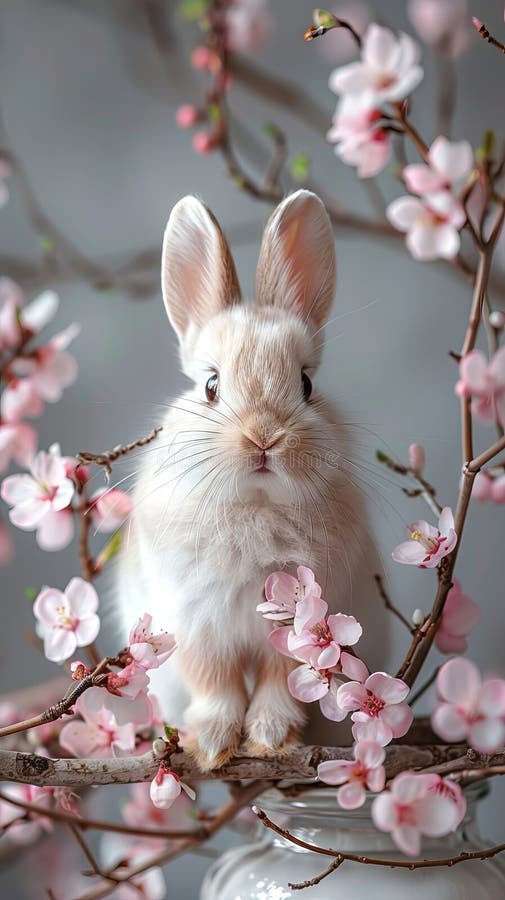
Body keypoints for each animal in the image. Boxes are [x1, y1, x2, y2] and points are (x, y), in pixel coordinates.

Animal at [117, 189, 383, 770]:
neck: (256, 507)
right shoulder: (196, 626)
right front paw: (215, 743)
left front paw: (270, 736)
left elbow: (280, 683)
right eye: (211, 386)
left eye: (306, 385)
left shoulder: (298, 627)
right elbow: (215, 683)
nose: (263, 438)